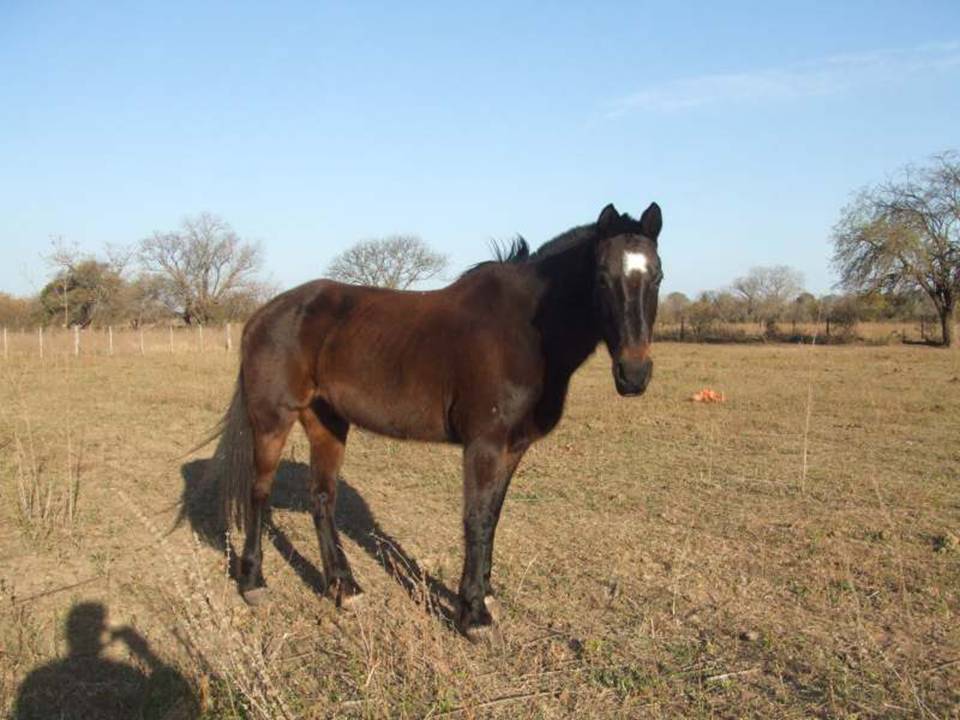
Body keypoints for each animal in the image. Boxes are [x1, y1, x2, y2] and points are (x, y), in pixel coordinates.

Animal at [209, 201, 663, 639]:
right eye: (602, 278)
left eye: (657, 276)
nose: (634, 373)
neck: (524, 333)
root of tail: (262, 314)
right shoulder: (484, 446)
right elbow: (476, 520)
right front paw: (474, 615)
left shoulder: (513, 448)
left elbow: (493, 517)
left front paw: (486, 595)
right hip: (272, 420)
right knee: (259, 492)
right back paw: (253, 582)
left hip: (327, 422)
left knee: (322, 498)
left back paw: (345, 588)